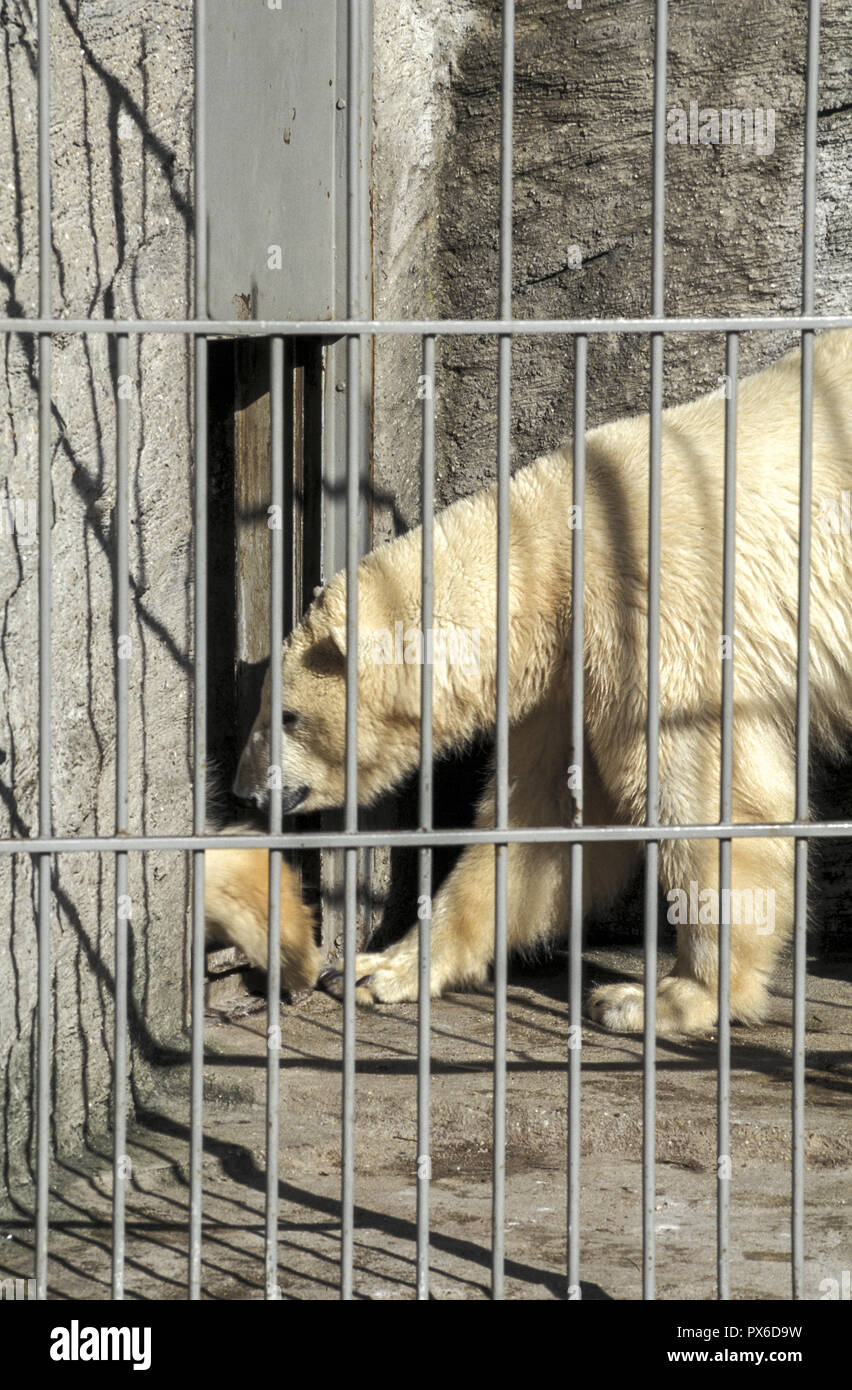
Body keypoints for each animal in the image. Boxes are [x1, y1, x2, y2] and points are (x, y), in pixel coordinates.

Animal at [232, 329, 852, 1035]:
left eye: (286, 715)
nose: (246, 792)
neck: (558, 546)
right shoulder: (572, 671)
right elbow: (546, 816)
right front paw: (379, 968)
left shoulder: (659, 614)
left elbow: (711, 796)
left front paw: (661, 996)